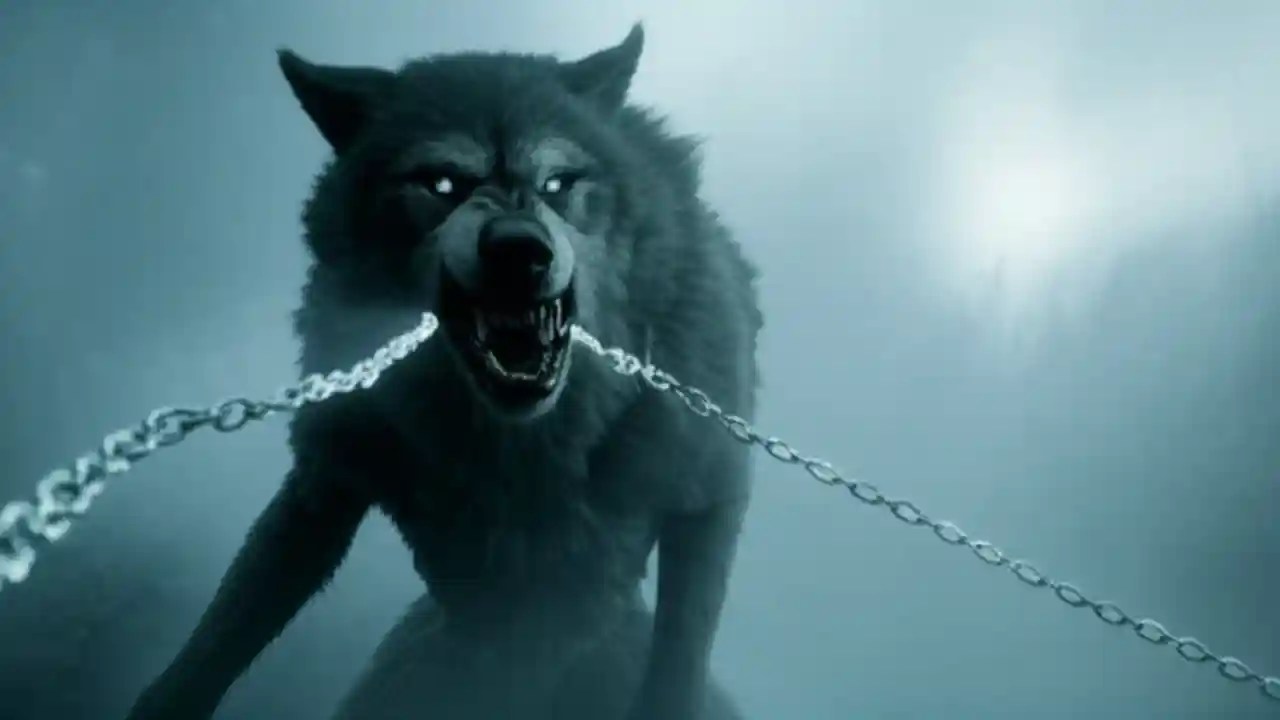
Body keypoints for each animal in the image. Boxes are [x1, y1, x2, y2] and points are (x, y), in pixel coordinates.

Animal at [125, 24, 763, 720]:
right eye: (441, 186)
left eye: (558, 183)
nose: (518, 250)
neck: (525, 447)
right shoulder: (325, 484)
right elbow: (223, 633)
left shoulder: (708, 495)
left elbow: (678, 664)